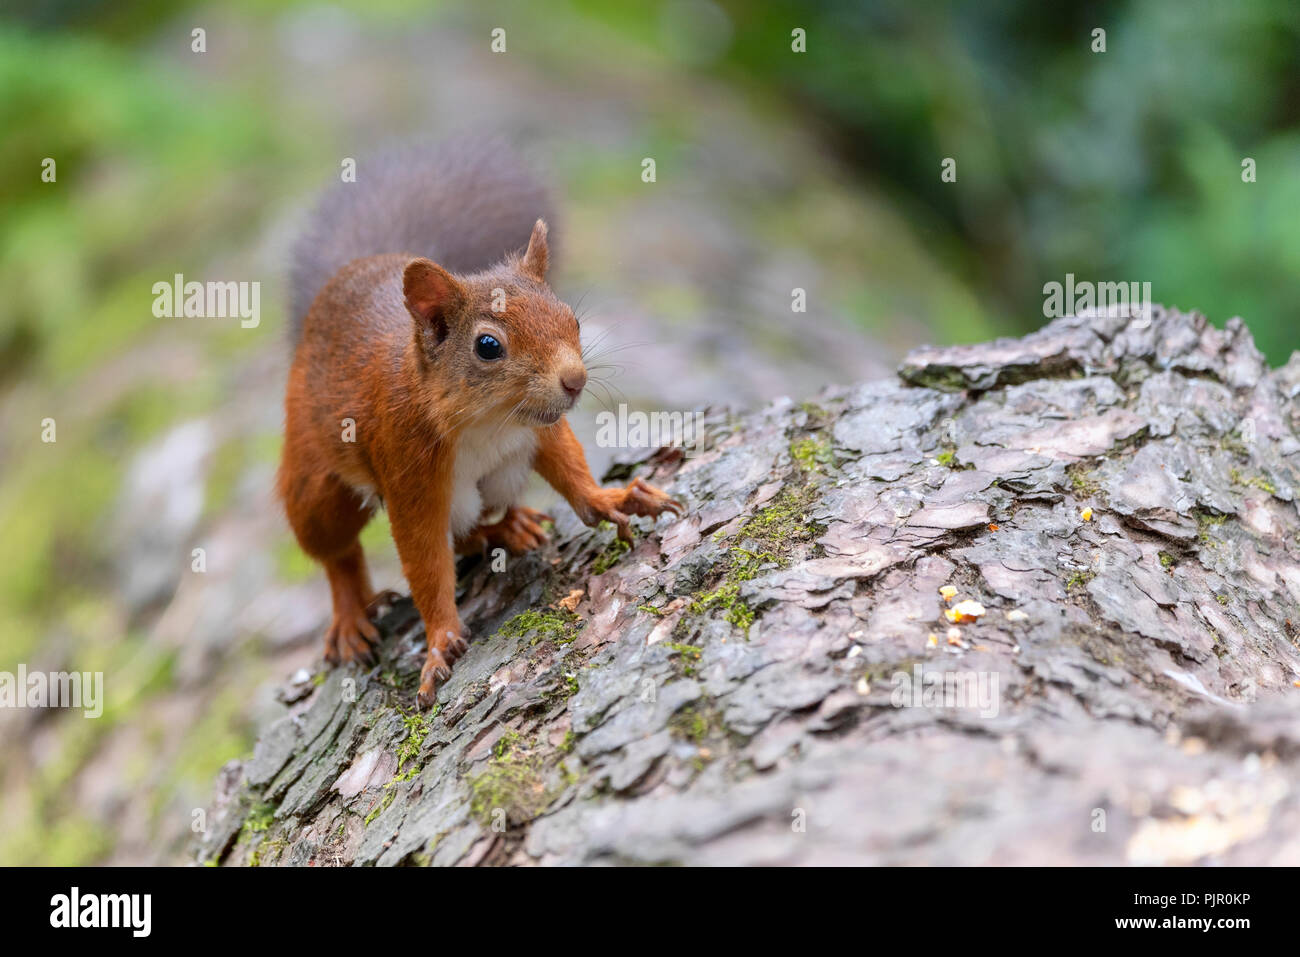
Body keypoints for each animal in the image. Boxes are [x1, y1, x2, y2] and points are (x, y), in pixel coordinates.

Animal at [278, 139, 685, 708]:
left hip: (497, 481)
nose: (575, 380)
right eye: (488, 346)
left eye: (573, 319)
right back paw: (352, 615)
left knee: (469, 532)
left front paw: (614, 499)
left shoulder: (540, 429)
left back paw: (508, 527)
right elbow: (424, 560)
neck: (487, 422)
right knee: (339, 550)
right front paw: (440, 640)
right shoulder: (409, 469)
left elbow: (570, 470)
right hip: (317, 478)